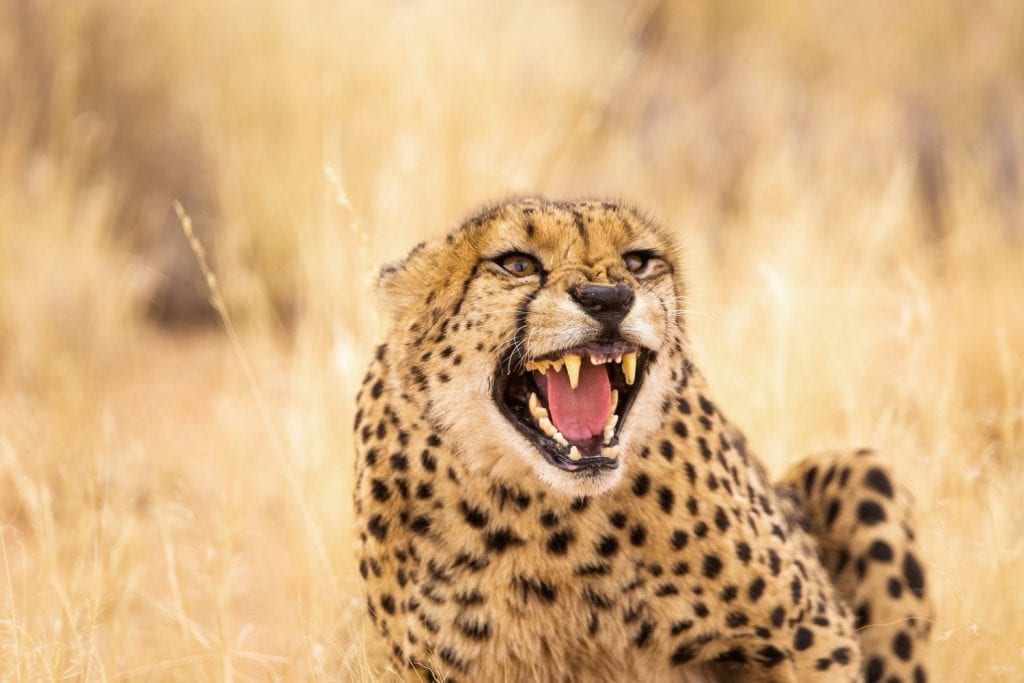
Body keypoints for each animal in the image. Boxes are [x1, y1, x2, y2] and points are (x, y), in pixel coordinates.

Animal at [353, 196, 932, 682]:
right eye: (517, 264)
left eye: (637, 261)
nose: (607, 298)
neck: (551, 521)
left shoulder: (810, 632)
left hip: (859, 468)